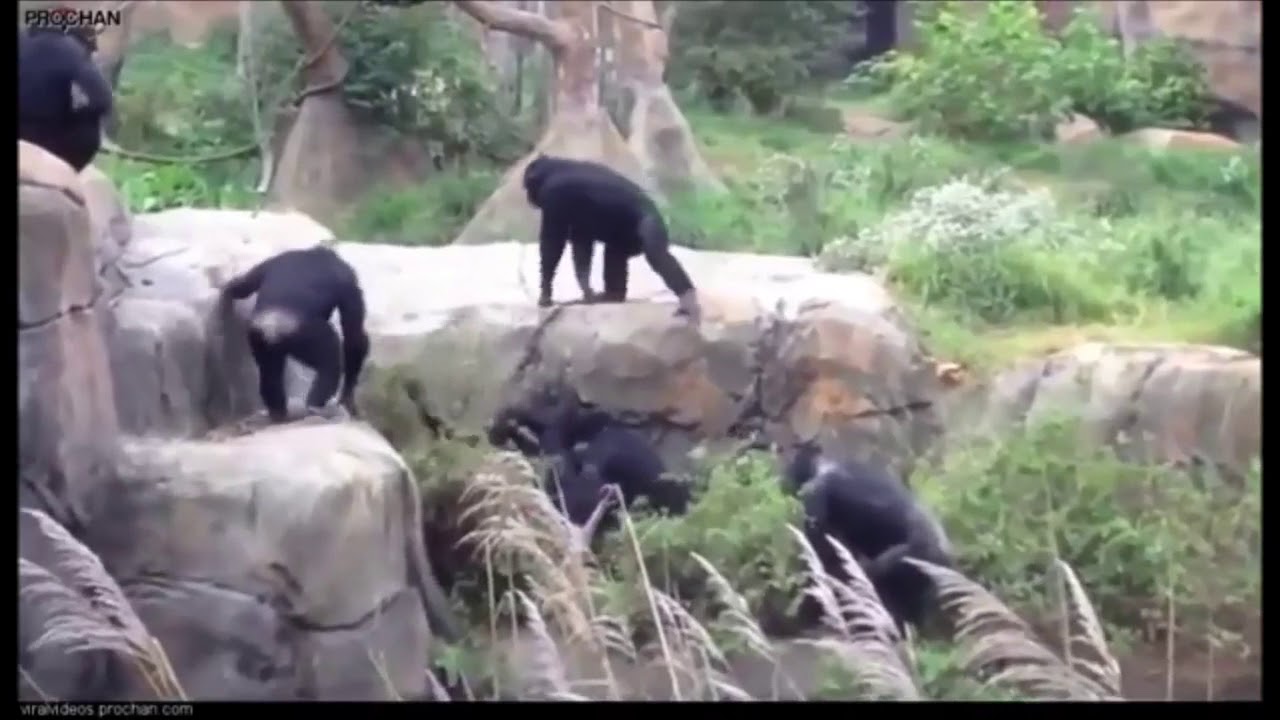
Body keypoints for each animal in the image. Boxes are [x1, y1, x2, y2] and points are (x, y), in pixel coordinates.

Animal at [219, 246, 370, 423]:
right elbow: (354, 334)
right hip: (307, 337)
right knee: (331, 361)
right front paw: (347, 397)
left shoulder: (273, 260)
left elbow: (244, 285)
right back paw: (315, 408)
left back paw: (278, 412)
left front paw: (227, 291)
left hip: (260, 340)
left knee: (270, 373)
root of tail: (271, 325)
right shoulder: (349, 279)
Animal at [522, 154, 703, 325]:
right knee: (614, 254)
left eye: (527, 186)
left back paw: (688, 299)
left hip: (651, 225)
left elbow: (552, 243)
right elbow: (581, 245)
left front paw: (545, 294)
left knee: (657, 254)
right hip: (627, 240)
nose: (528, 197)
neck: (555, 169)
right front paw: (587, 291)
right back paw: (612, 296)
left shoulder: (554, 196)